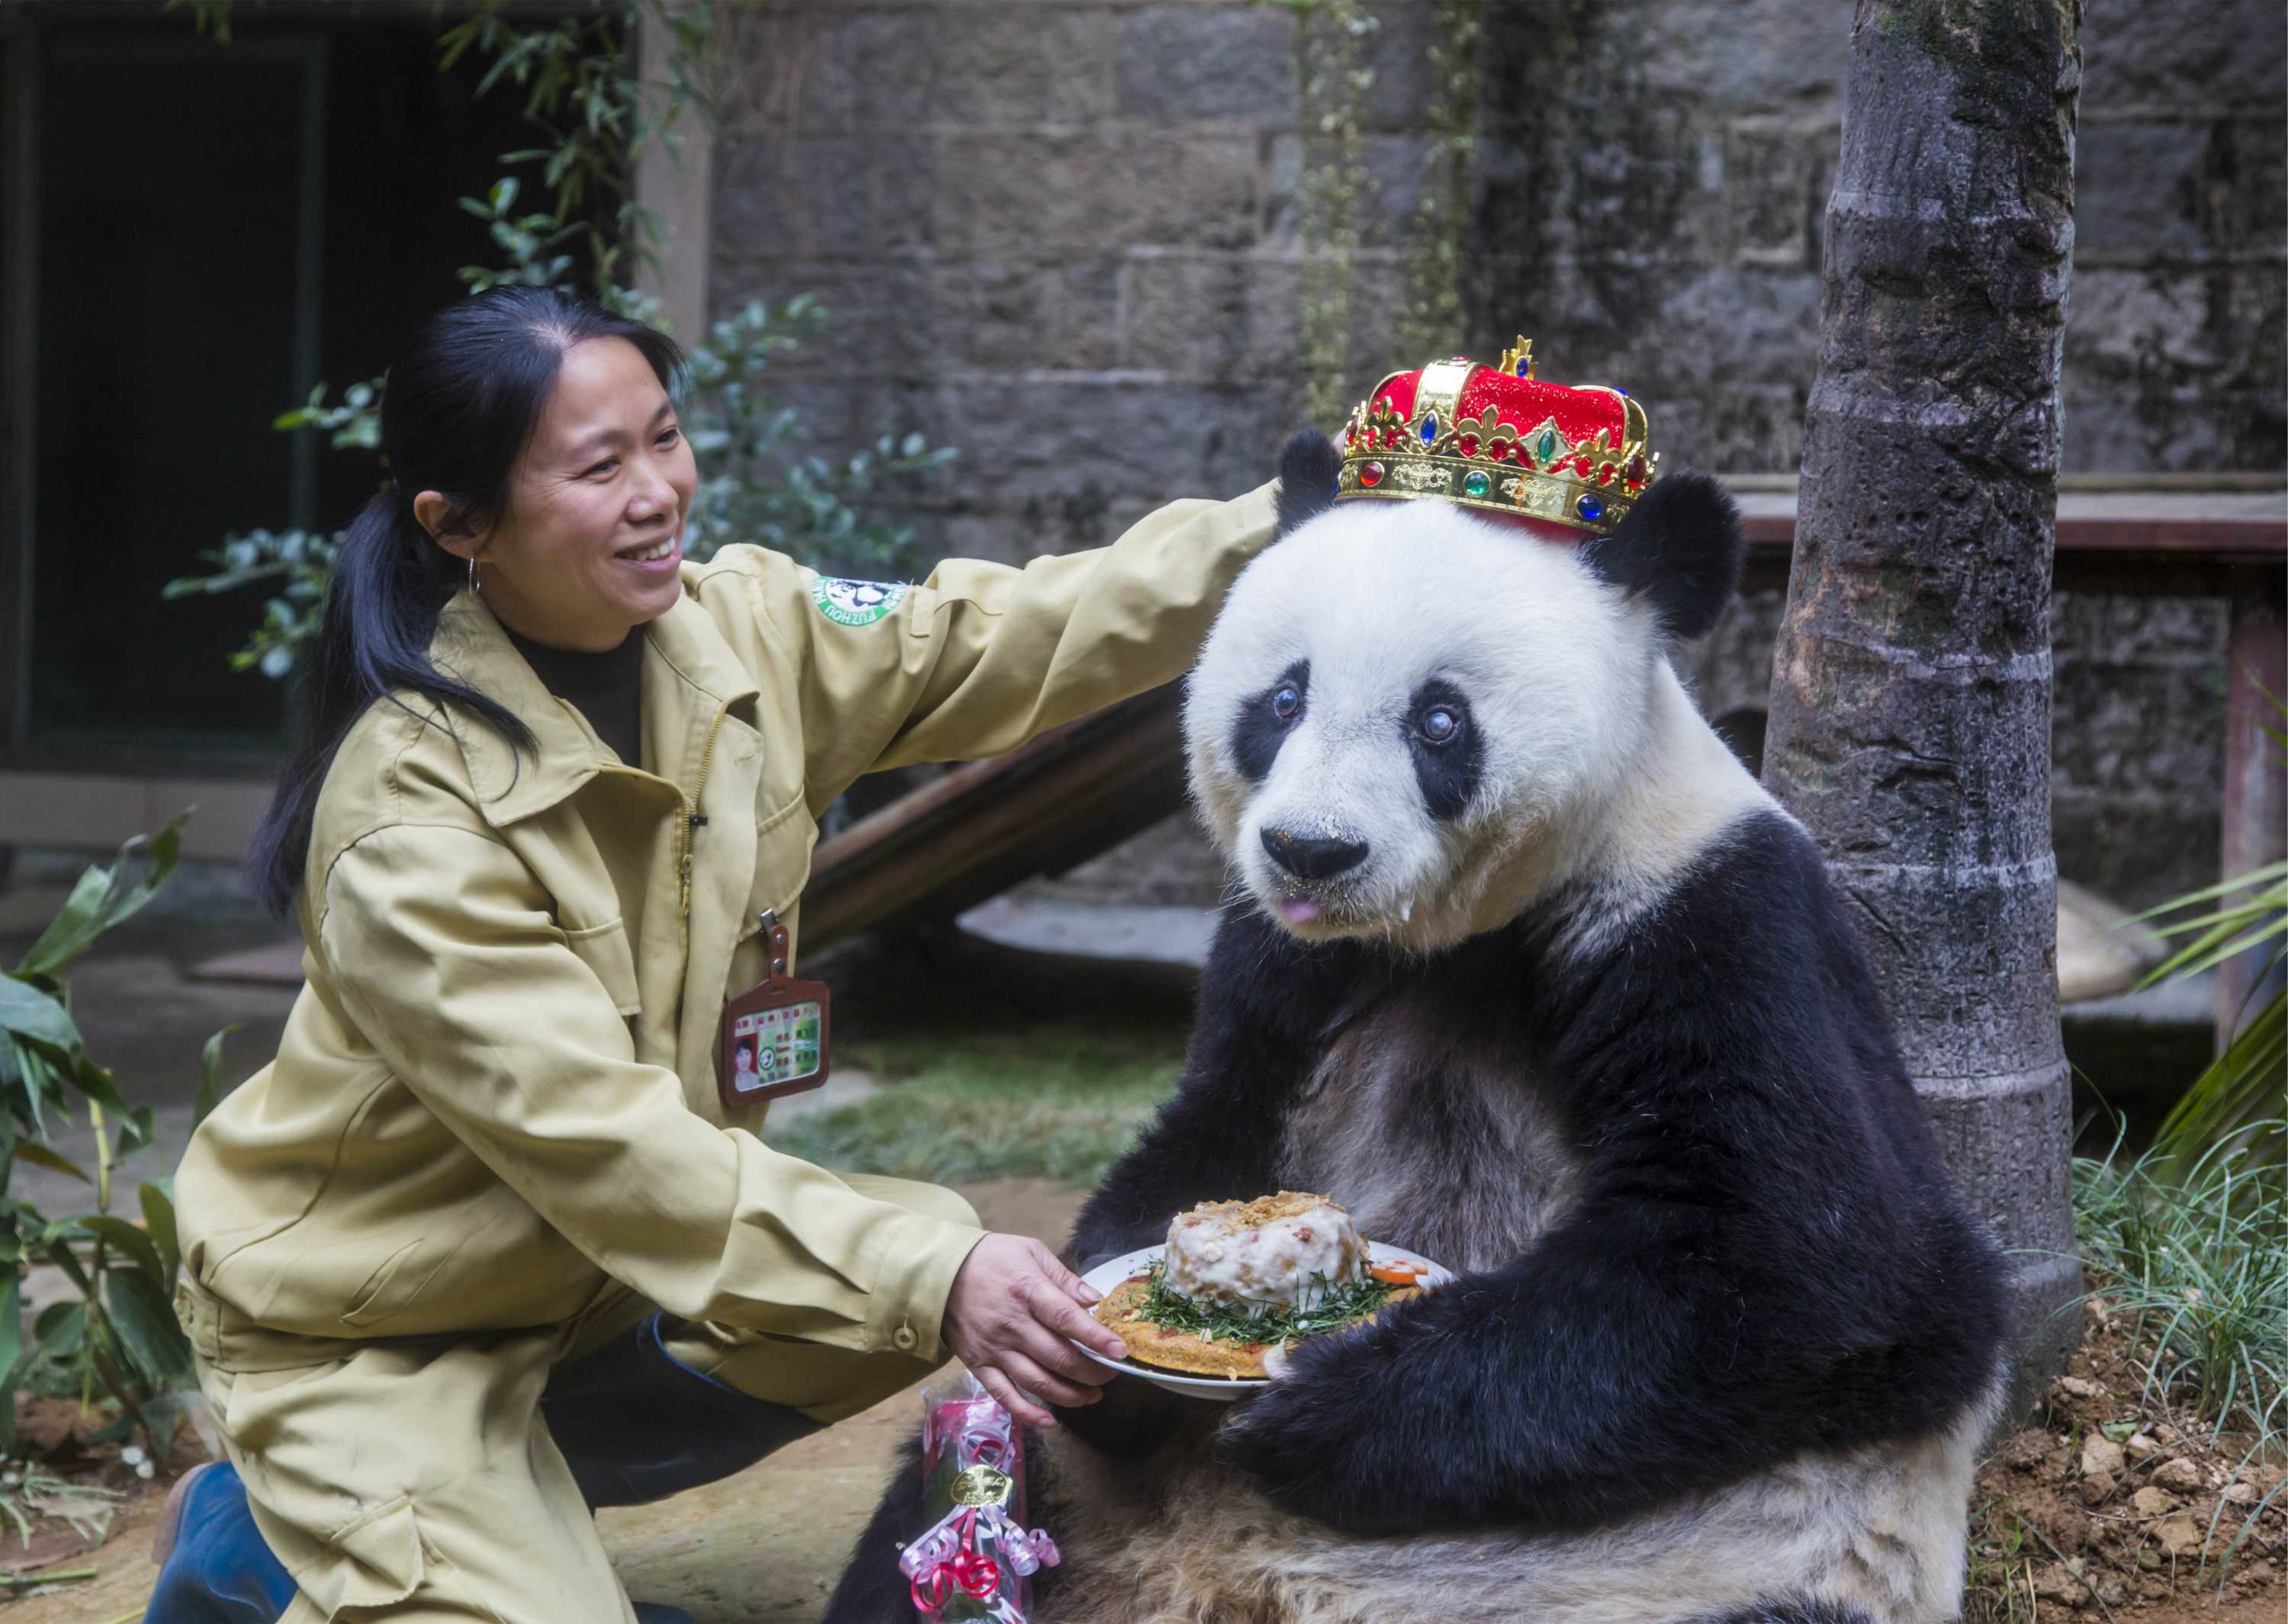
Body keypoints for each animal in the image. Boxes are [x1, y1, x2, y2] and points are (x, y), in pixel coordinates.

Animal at [826, 430, 2009, 1624]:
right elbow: (1216, 1119)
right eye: (1283, 700)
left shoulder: (1710, 916)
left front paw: (1326, 1406)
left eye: (1439, 720)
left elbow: (1823, 1263)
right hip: (1080, 1504)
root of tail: (1223, 1582)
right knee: (920, 1528)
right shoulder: (1283, 957)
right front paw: (1095, 1358)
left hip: (1736, 1566)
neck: (1447, 932)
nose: (1310, 850)